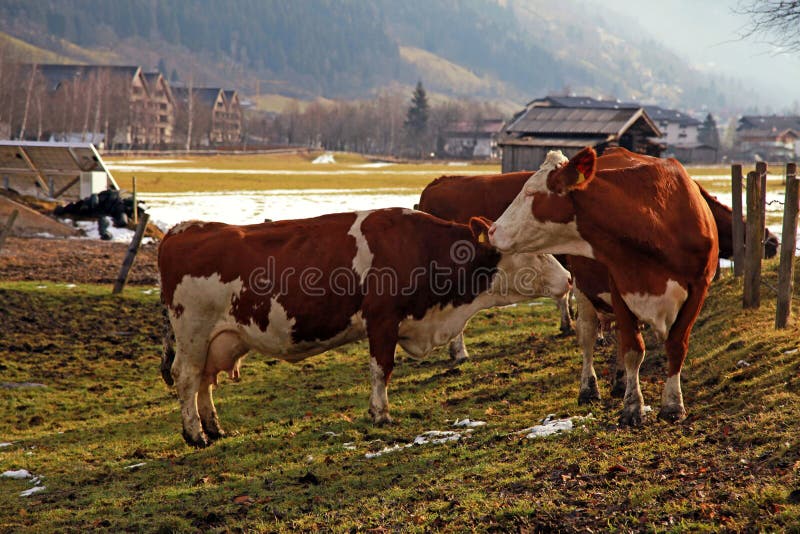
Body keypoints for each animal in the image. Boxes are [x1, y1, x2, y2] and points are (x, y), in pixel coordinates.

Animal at [158, 208, 571, 447]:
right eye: (533, 250)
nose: (568, 278)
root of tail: (184, 228)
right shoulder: (382, 319)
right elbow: (381, 369)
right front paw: (381, 414)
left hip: (215, 338)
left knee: (204, 381)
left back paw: (214, 428)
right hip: (193, 330)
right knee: (187, 378)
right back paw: (195, 434)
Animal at [488, 146, 719, 425]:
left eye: (531, 192)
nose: (492, 230)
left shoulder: (699, 288)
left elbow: (676, 346)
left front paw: (673, 405)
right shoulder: (618, 286)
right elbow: (633, 350)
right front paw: (633, 407)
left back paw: (620, 382)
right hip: (582, 289)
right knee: (588, 336)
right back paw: (589, 388)